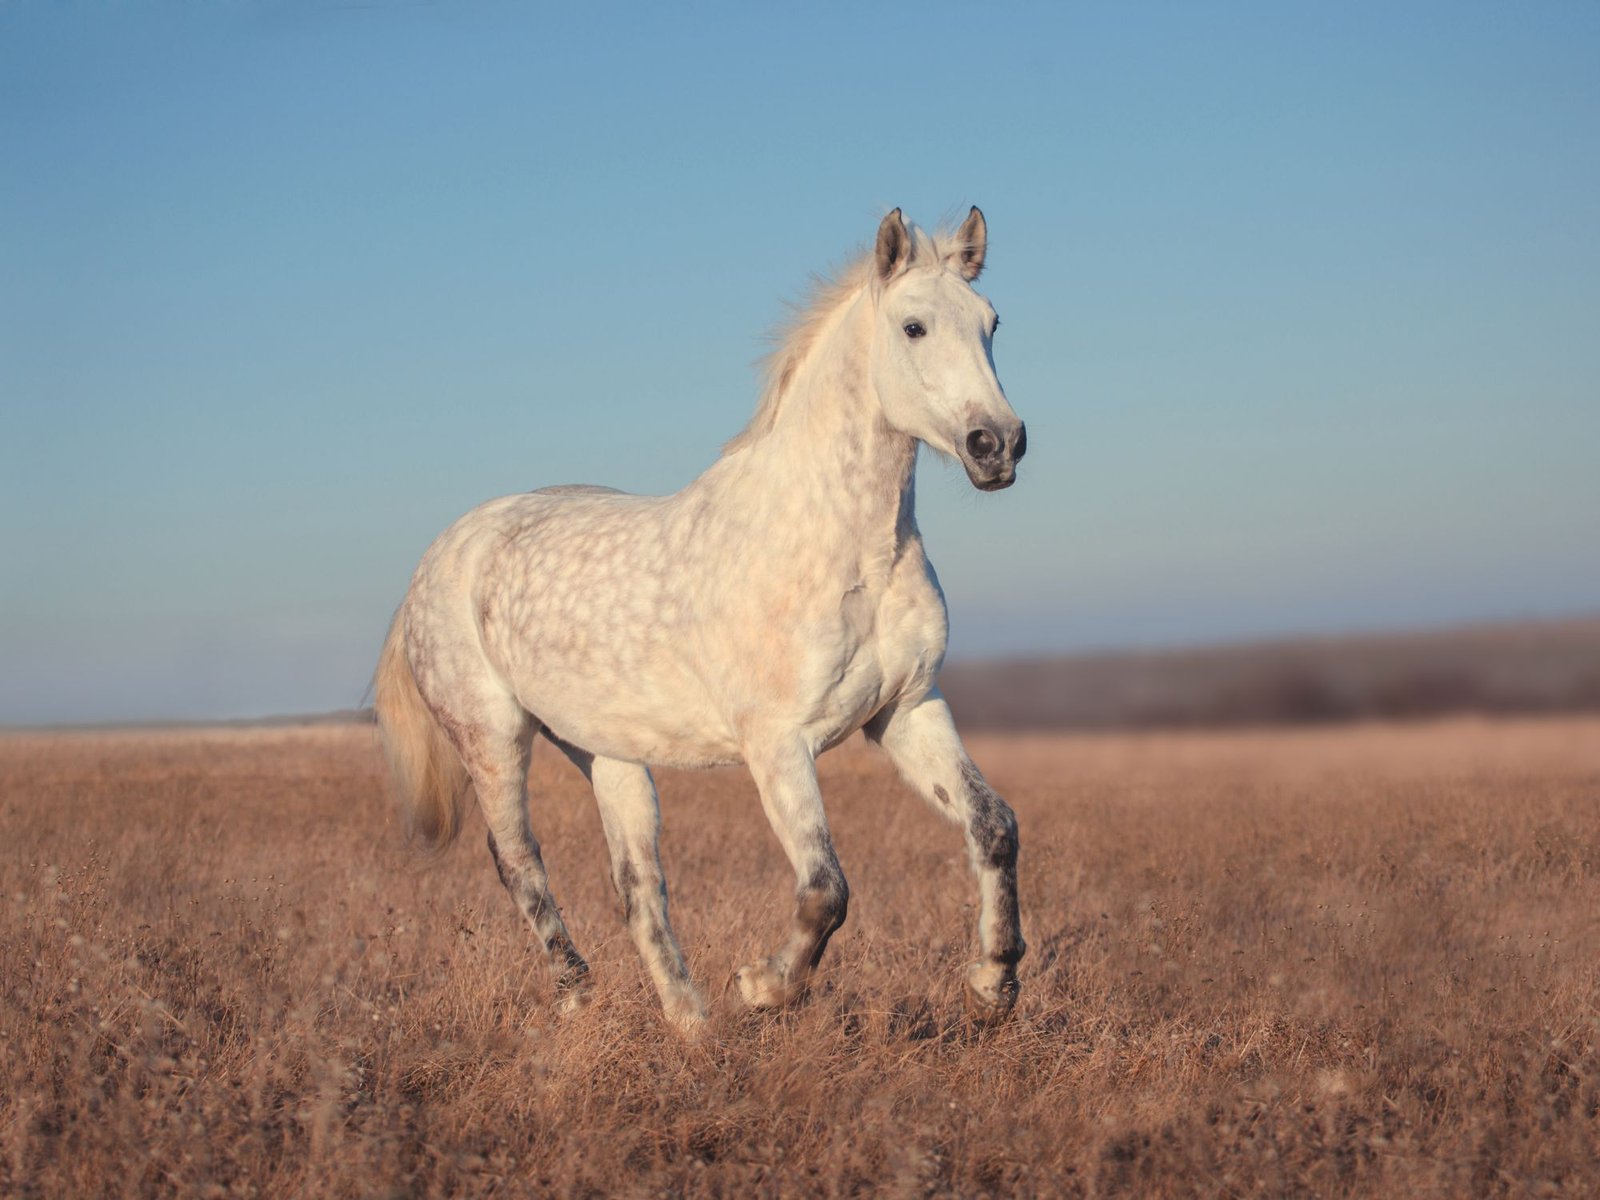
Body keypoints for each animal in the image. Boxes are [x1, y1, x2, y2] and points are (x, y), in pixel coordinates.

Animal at [373, 207, 1028, 1031]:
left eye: (992, 322)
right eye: (913, 327)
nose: (998, 445)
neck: (850, 549)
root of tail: (439, 557)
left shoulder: (907, 712)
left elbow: (993, 826)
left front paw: (994, 980)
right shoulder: (777, 743)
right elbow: (826, 888)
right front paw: (762, 986)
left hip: (608, 755)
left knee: (637, 887)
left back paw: (693, 1028)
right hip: (492, 738)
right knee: (518, 861)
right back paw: (579, 995)